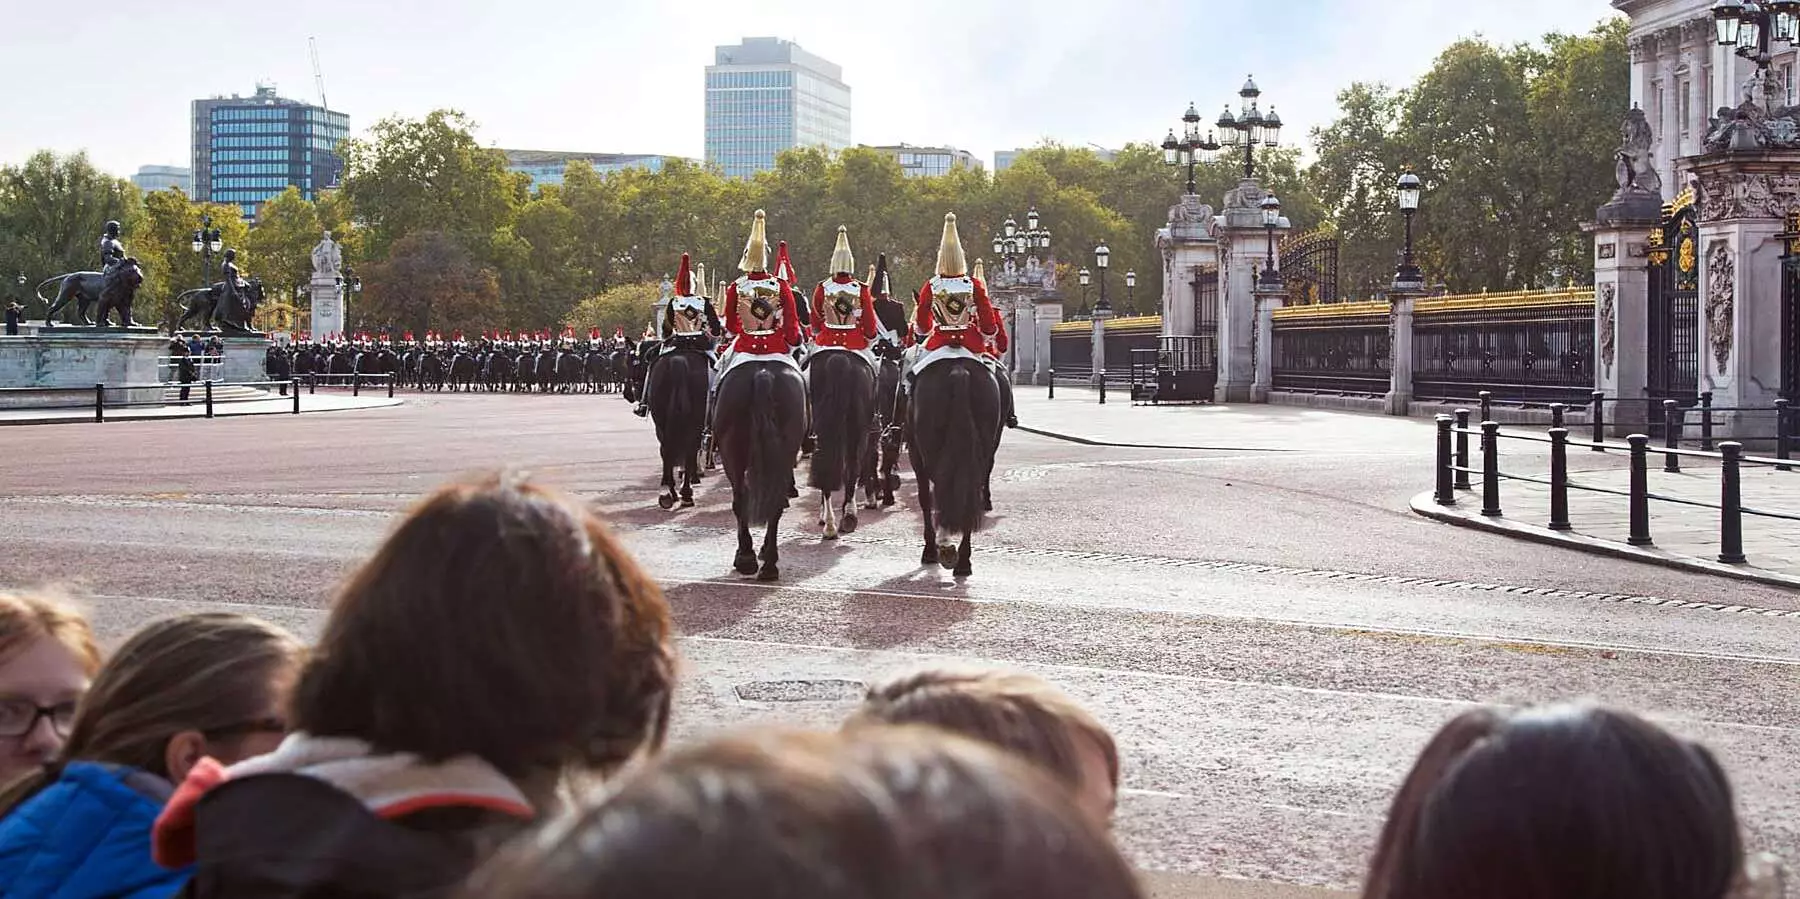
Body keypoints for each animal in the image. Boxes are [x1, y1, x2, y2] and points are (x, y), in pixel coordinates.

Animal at [712, 363, 806, 583]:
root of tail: (763, 374)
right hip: (785, 453)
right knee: (774, 504)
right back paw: (769, 564)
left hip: (732, 453)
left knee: (741, 500)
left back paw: (747, 557)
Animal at [810, 347, 878, 536]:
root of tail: (839, 358)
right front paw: (870, 498)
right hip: (858, 429)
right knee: (854, 465)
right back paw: (847, 516)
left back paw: (830, 524)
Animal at [907, 356, 1008, 576]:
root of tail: (959, 370)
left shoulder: (916, 454)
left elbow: (926, 499)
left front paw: (932, 548)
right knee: (969, 493)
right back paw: (963, 560)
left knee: (942, 490)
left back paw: (943, 549)